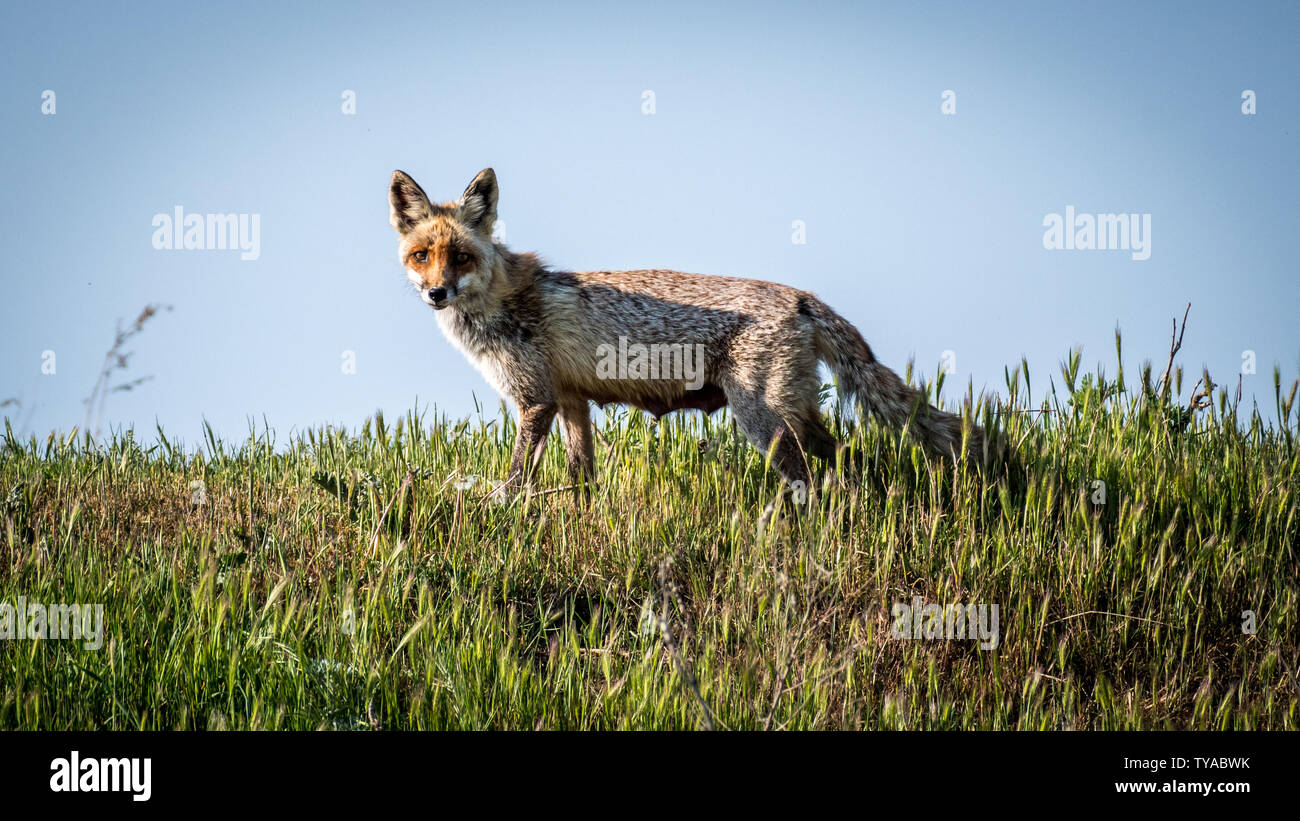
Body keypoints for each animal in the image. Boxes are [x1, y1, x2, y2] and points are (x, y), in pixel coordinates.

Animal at [389, 167, 986, 499]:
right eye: (422, 256)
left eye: (460, 257)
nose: (436, 293)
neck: (500, 301)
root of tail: (800, 296)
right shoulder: (571, 400)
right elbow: (583, 481)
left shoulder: (535, 399)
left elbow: (517, 479)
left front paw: (503, 508)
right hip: (798, 420)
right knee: (849, 461)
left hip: (764, 424)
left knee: (812, 484)